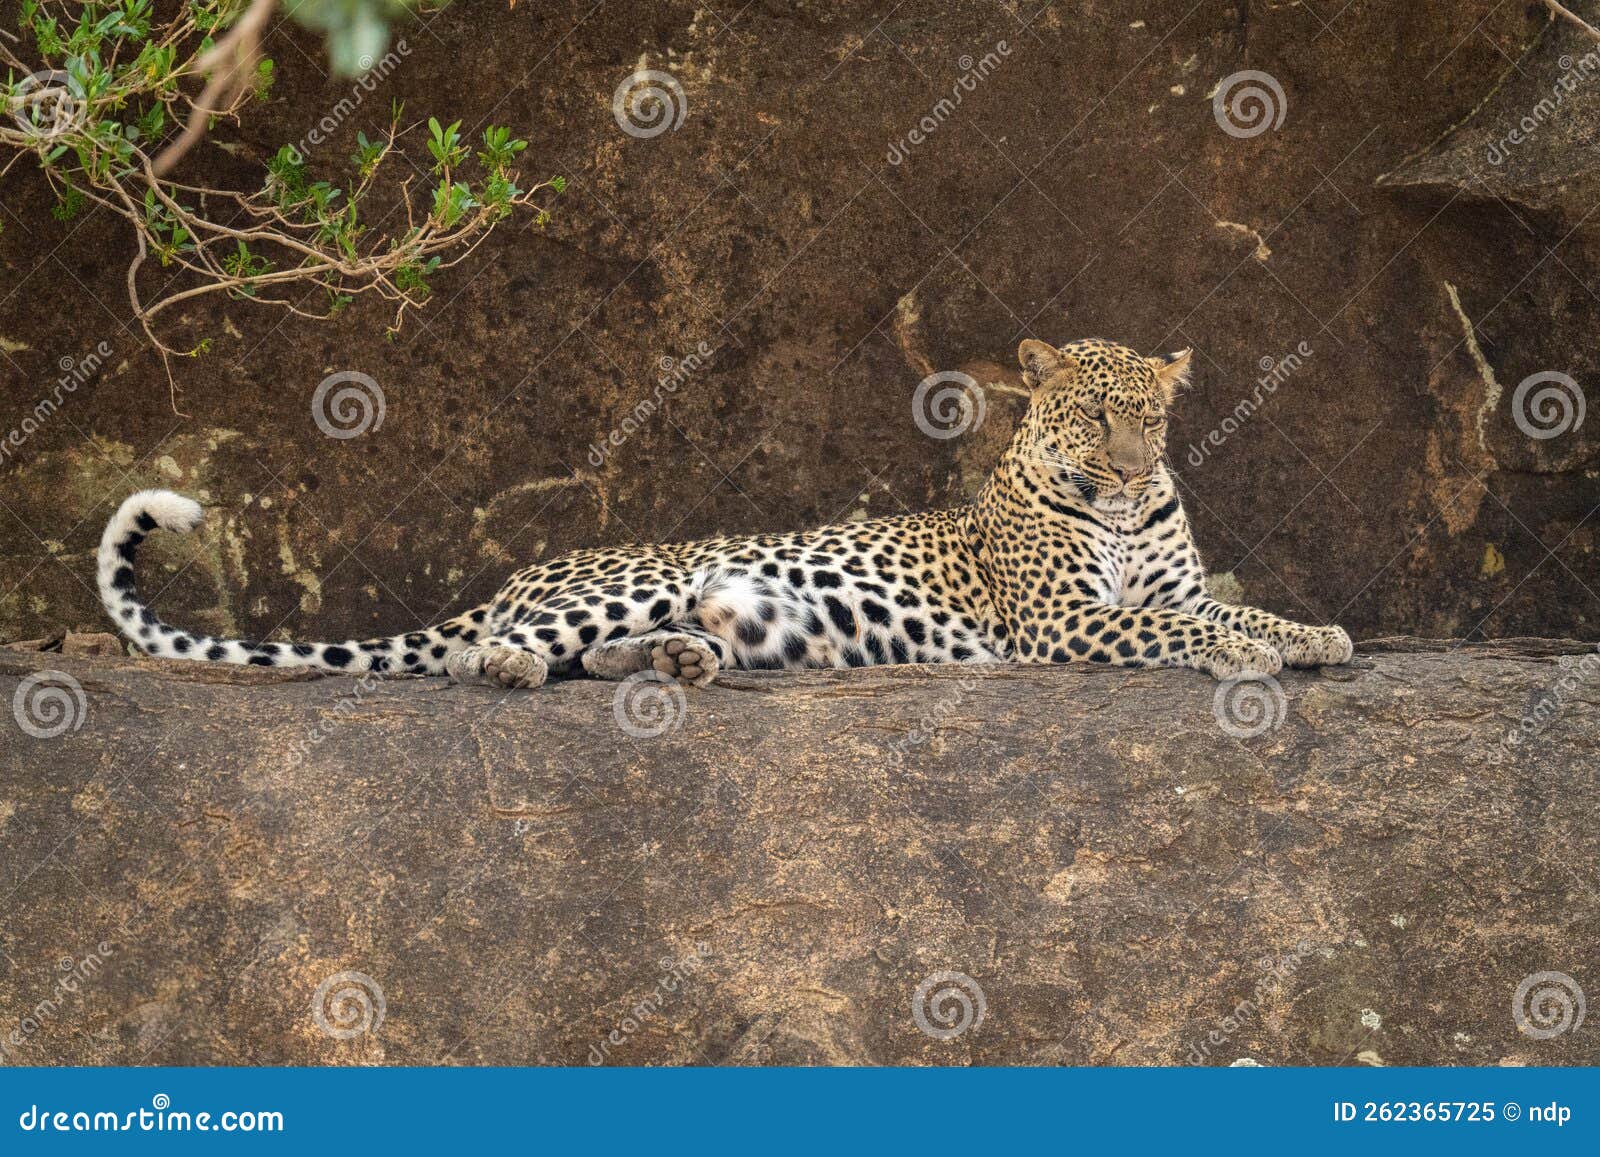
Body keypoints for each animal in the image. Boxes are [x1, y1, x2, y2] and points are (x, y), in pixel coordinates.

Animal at [98, 337, 1353, 690]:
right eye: (1091, 419)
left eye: (1150, 417)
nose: (1135, 472)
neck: (1124, 520)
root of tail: (517, 574)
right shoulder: (1061, 623)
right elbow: (1181, 626)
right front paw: (1279, 647)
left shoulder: (1159, 582)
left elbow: (1217, 608)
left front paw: (1312, 632)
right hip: (637, 578)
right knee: (486, 655)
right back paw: (509, 666)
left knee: (623, 652)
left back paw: (676, 667)